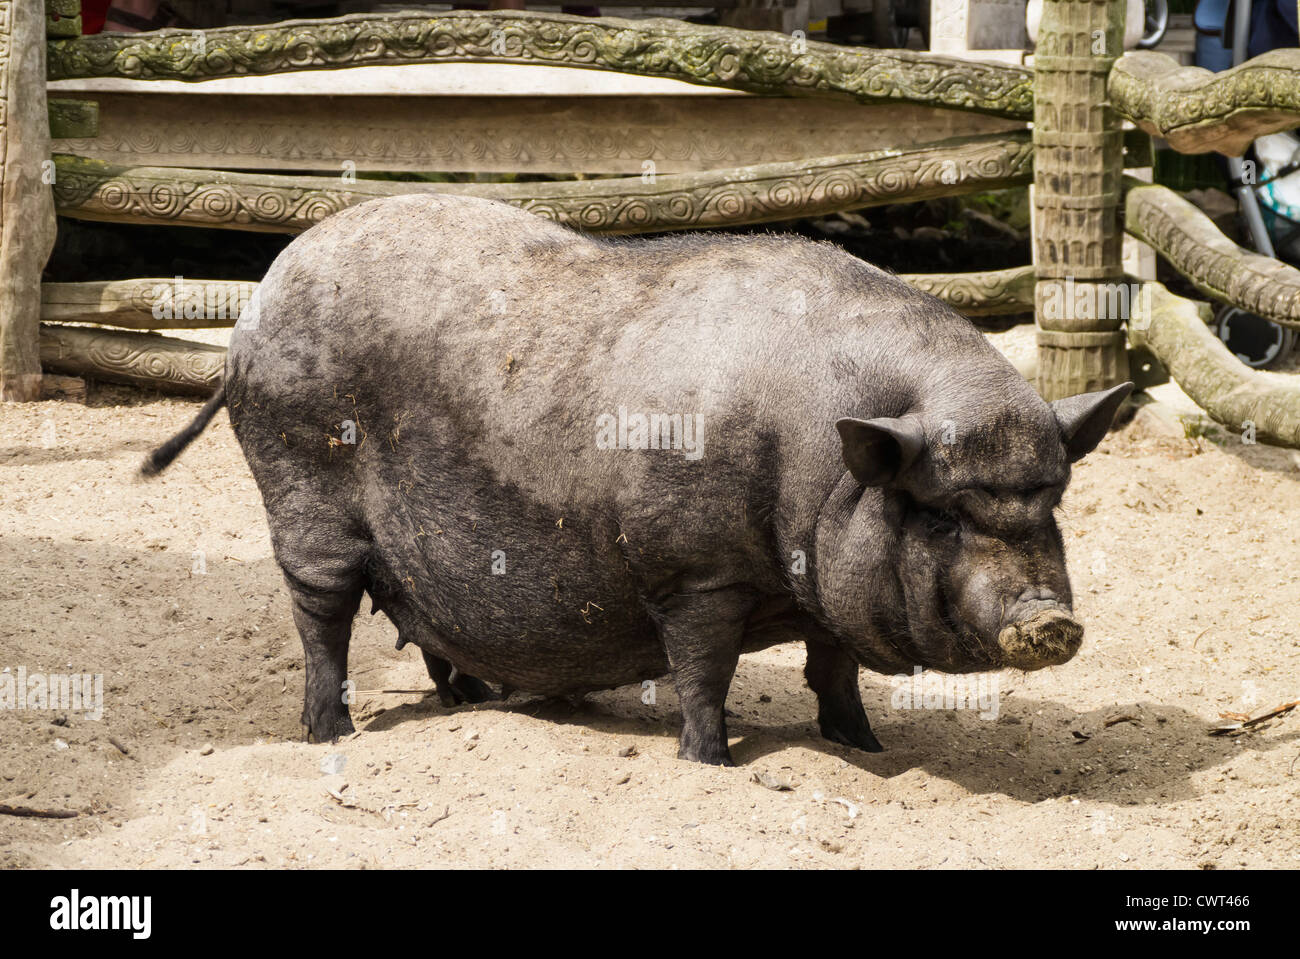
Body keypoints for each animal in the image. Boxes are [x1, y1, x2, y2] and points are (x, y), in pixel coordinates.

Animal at [143, 193, 1131, 766]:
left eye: (1051, 505)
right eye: (943, 514)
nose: (1052, 617)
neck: (811, 457)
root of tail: (252, 311)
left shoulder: (822, 588)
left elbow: (835, 666)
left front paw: (869, 745)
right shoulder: (694, 571)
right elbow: (704, 670)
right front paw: (711, 762)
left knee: (421, 625)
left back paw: (472, 702)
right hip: (302, 491)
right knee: (321, 616)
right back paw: (330, 732)